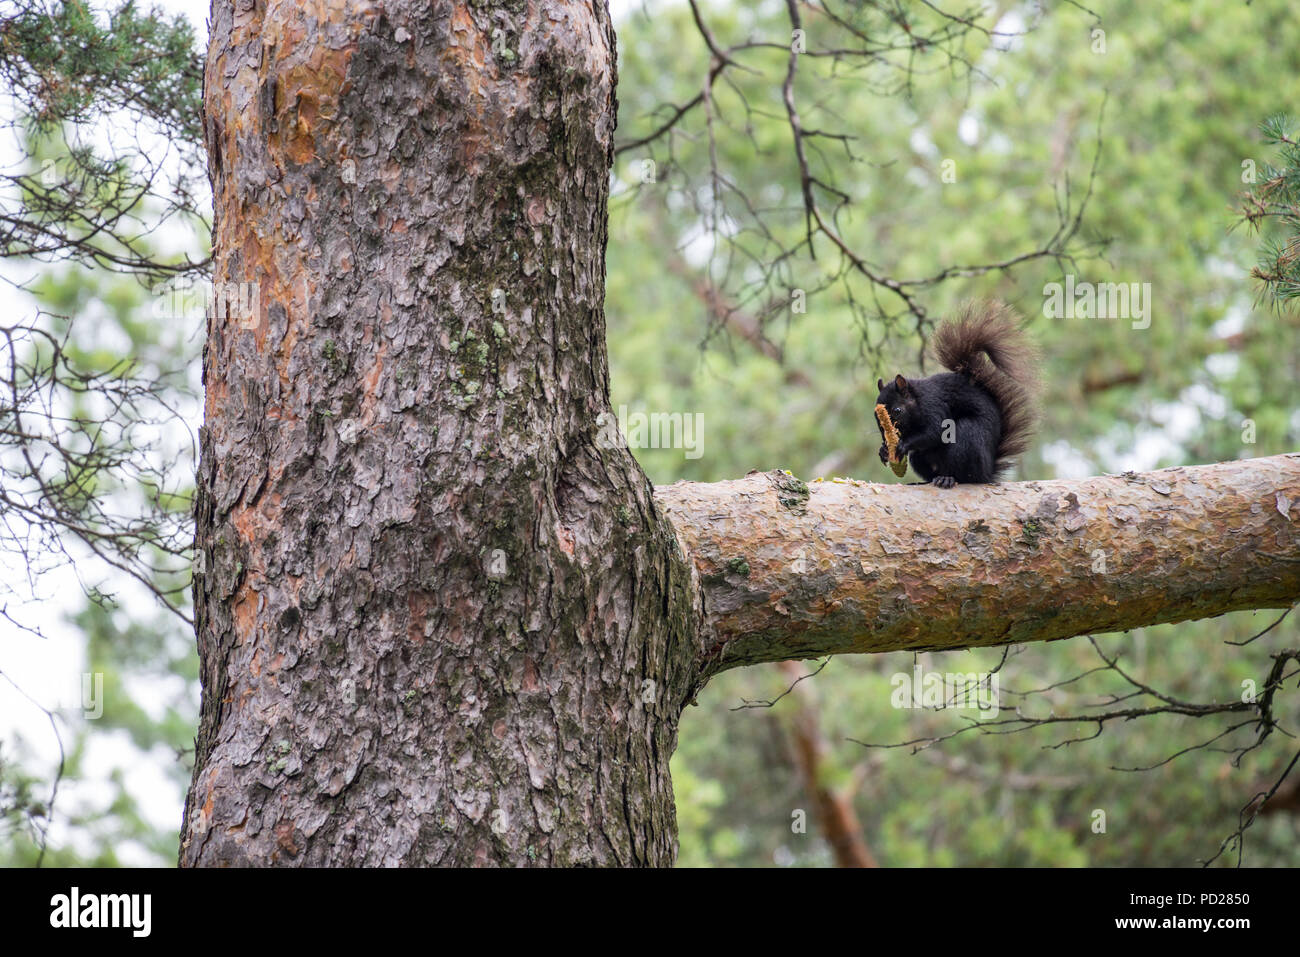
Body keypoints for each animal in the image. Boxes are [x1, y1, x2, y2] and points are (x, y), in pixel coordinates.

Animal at [875, 302, 1039, 488]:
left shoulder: (934, 405)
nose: (886, 437)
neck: (918, 399)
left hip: (967, 438)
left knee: (966, 475)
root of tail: (988, 472)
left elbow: (934, 431)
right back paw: (924, 481)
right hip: (919, 458)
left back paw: (948, 478)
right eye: (875, 414)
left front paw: (902, 444)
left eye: (897, 411)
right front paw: (883, 450)